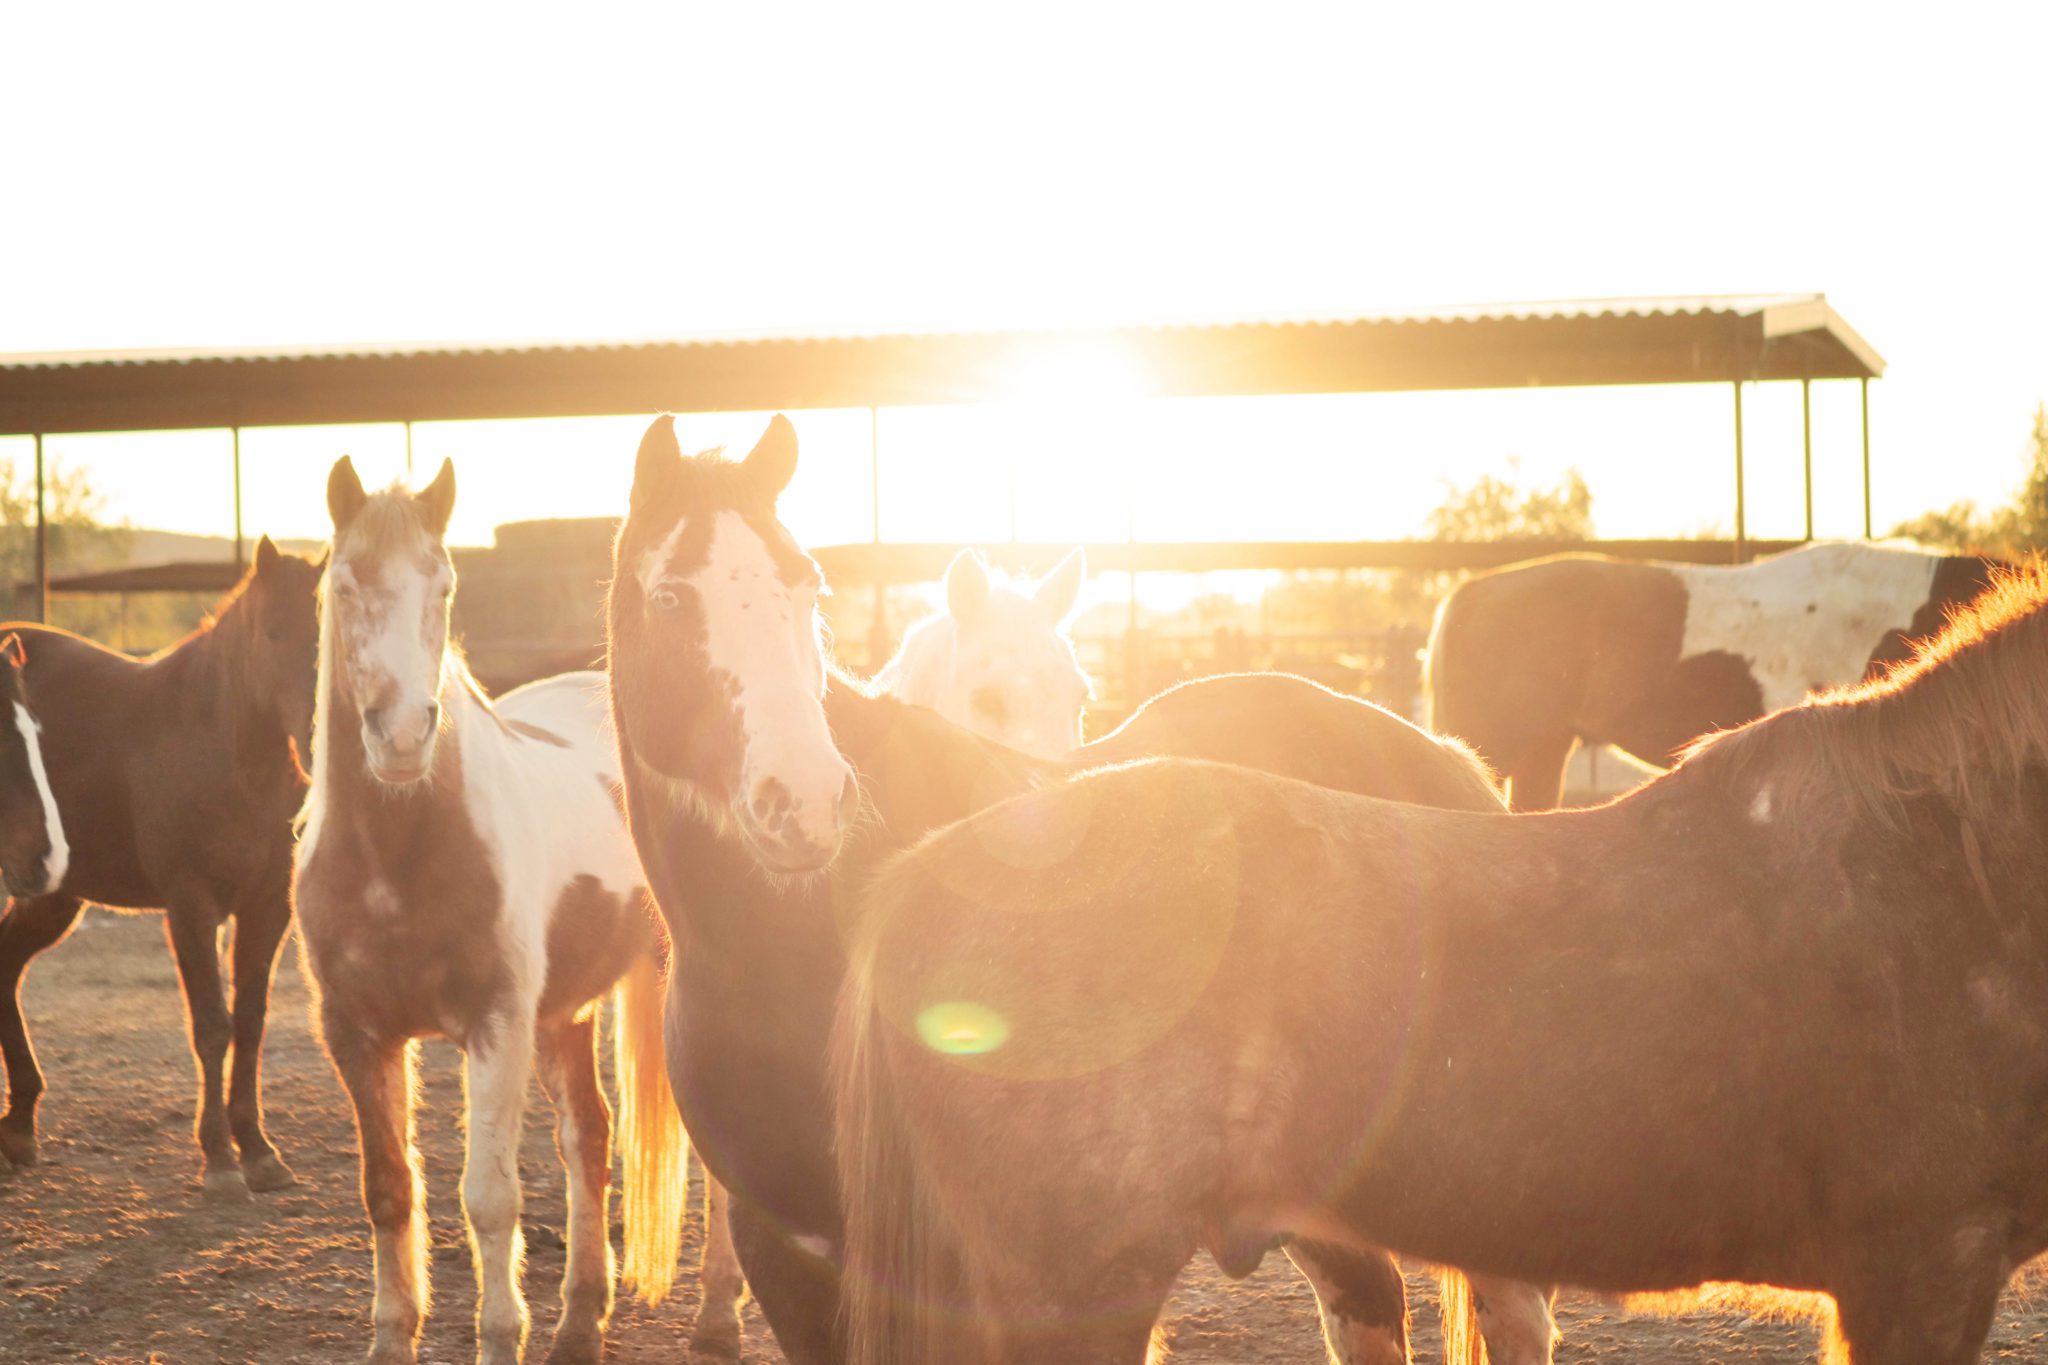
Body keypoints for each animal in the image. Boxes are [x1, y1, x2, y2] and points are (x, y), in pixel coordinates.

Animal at [0, 538, 319, 1198]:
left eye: (323, 633)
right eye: (272, 633)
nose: (310, 738)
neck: (226, 750)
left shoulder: (268, 906)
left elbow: (250, 1021)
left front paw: (259, 1151)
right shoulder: (191, 904)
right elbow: (213, 1025)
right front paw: (220, 1159)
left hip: (52, 894)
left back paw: (18, 1126)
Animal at [292, 457, 686, 1365]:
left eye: (443, 584)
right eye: (346, 581)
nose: (404, 738)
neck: (394, 863)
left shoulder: (496, 1023)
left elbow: (490, 1197)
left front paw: (501, 1334)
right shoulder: (356, 1033)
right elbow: (389, 1188)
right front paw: (392, 1337)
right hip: (565, 1015)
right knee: (590, 1138)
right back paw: (578, 1322)